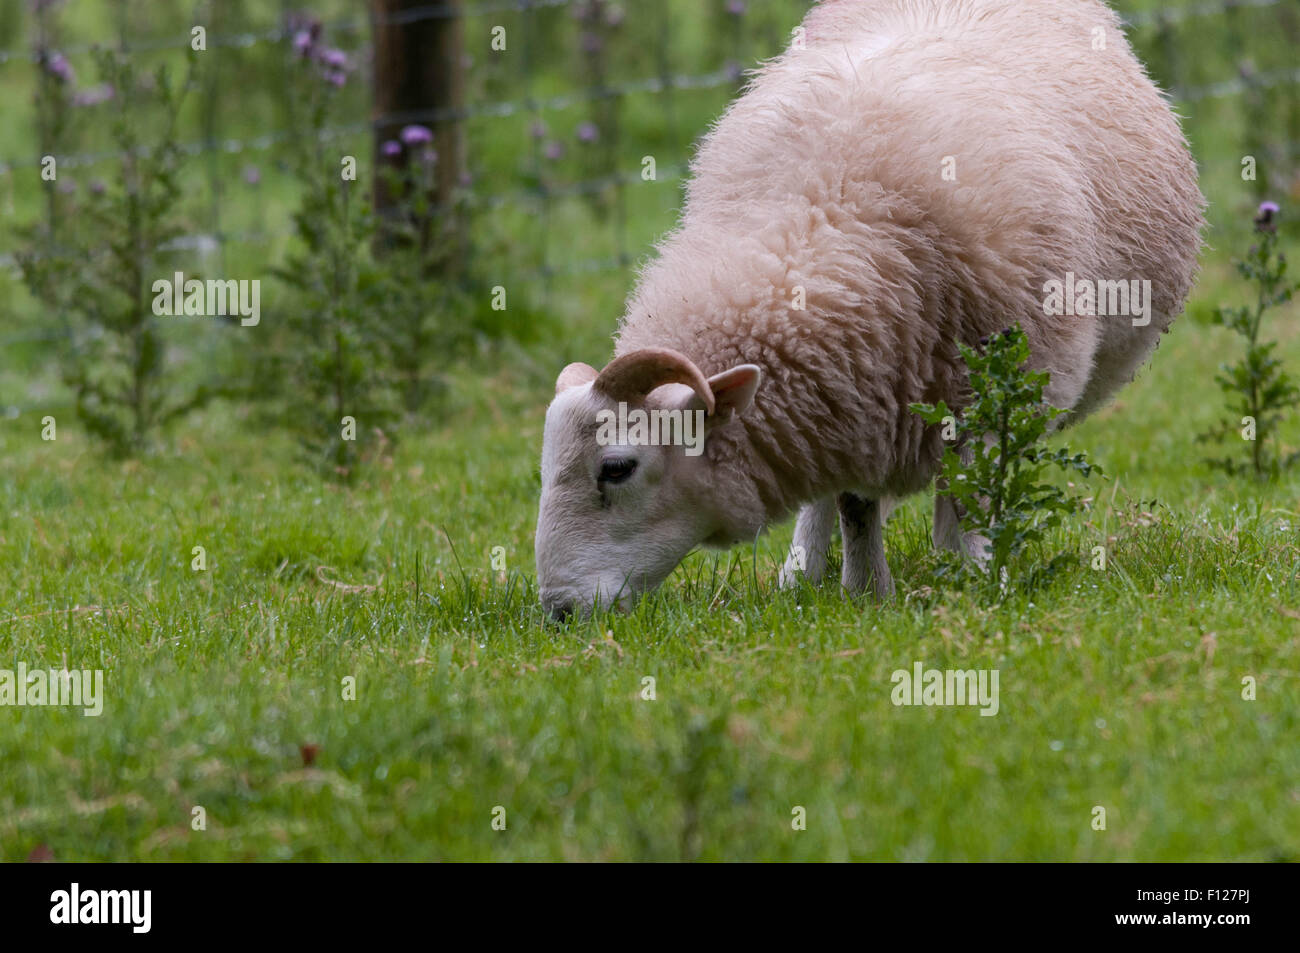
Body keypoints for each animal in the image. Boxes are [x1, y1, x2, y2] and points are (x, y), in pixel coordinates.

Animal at [535, 0, 1205, 620]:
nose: (558, 610)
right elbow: (854, 503)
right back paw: (804, 571)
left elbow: (966, 499)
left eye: (617, 468)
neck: (819, 216)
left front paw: (974, 583)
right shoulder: (855, 393)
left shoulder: (984, 391)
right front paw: (865, 592)